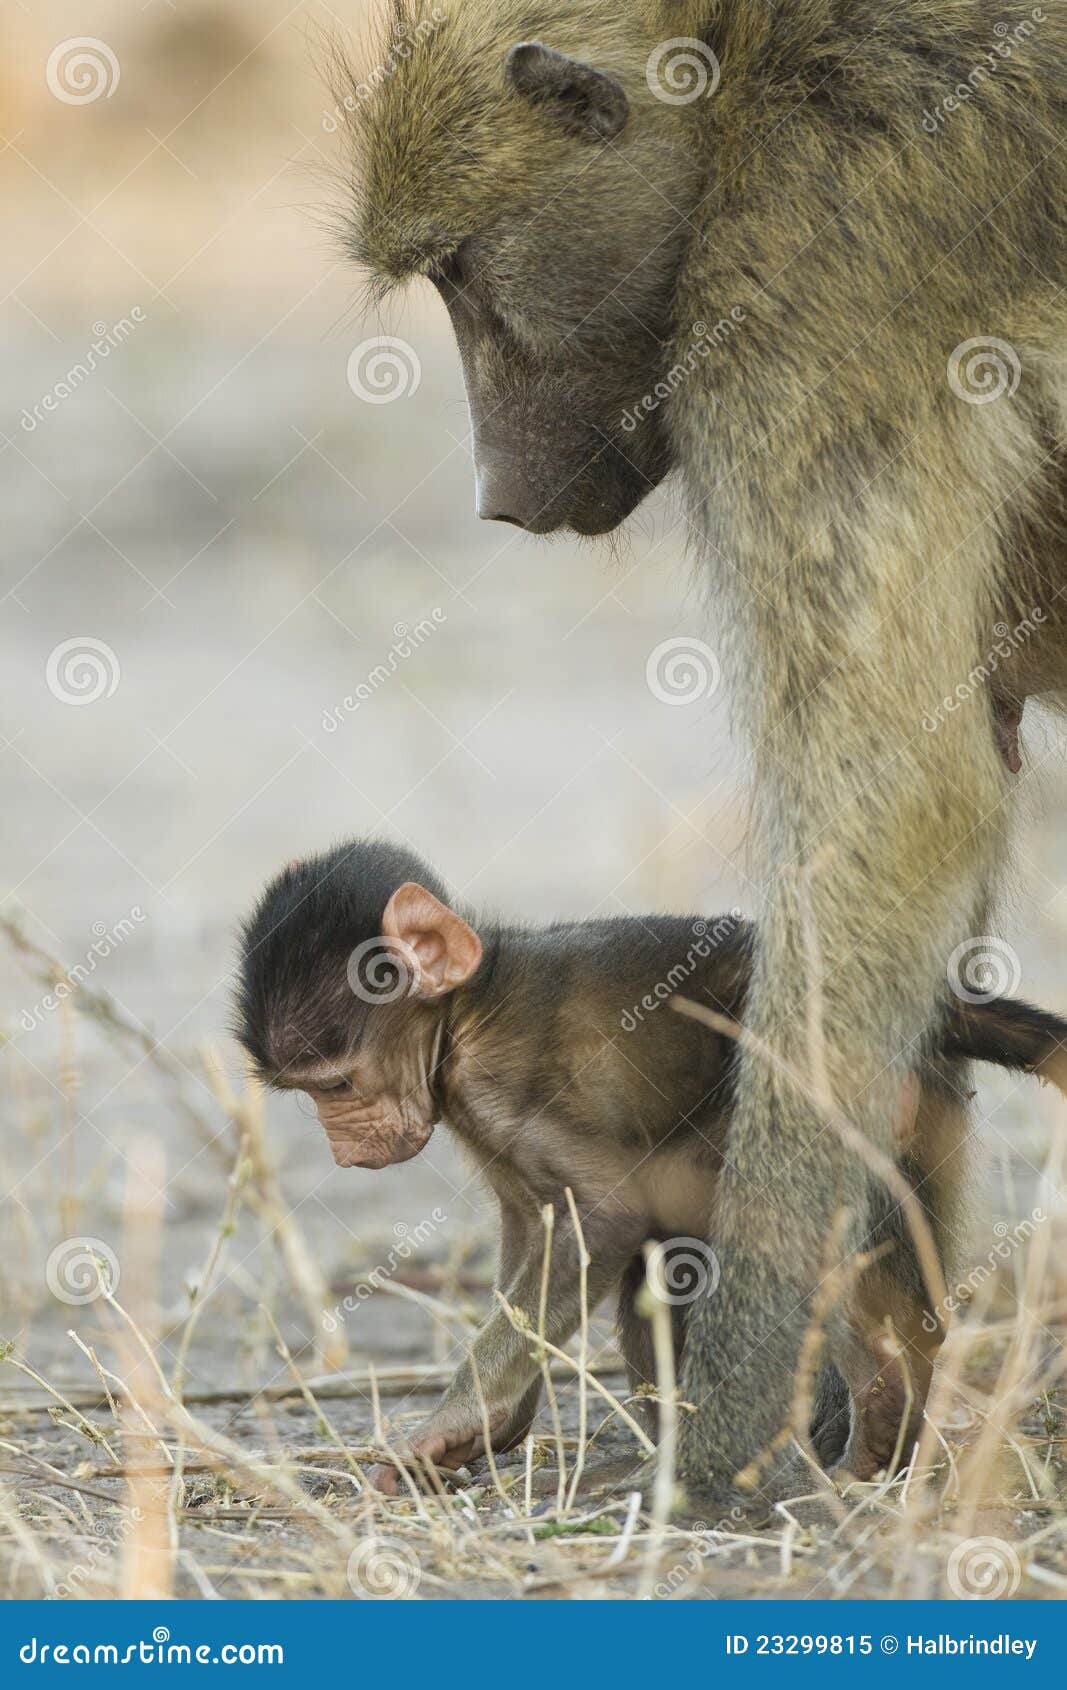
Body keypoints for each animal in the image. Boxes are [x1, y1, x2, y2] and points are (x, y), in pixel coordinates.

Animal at [233, 841, 1067, 1497]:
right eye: (313, 1094)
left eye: (337, 1086)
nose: (344, 1147)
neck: (465, 1014)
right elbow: (530, 1228)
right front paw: (491, 1428)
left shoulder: (500, 1091)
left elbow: (603, 1221)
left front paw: (457, 1419)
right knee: (665, 1271)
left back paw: (876, 1423)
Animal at [332, 0, 1067, 1499]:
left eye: (462, 271)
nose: (495, 498)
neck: (745, 86)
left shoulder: (803, 293)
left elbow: (893, 802)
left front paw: (731, 1435)